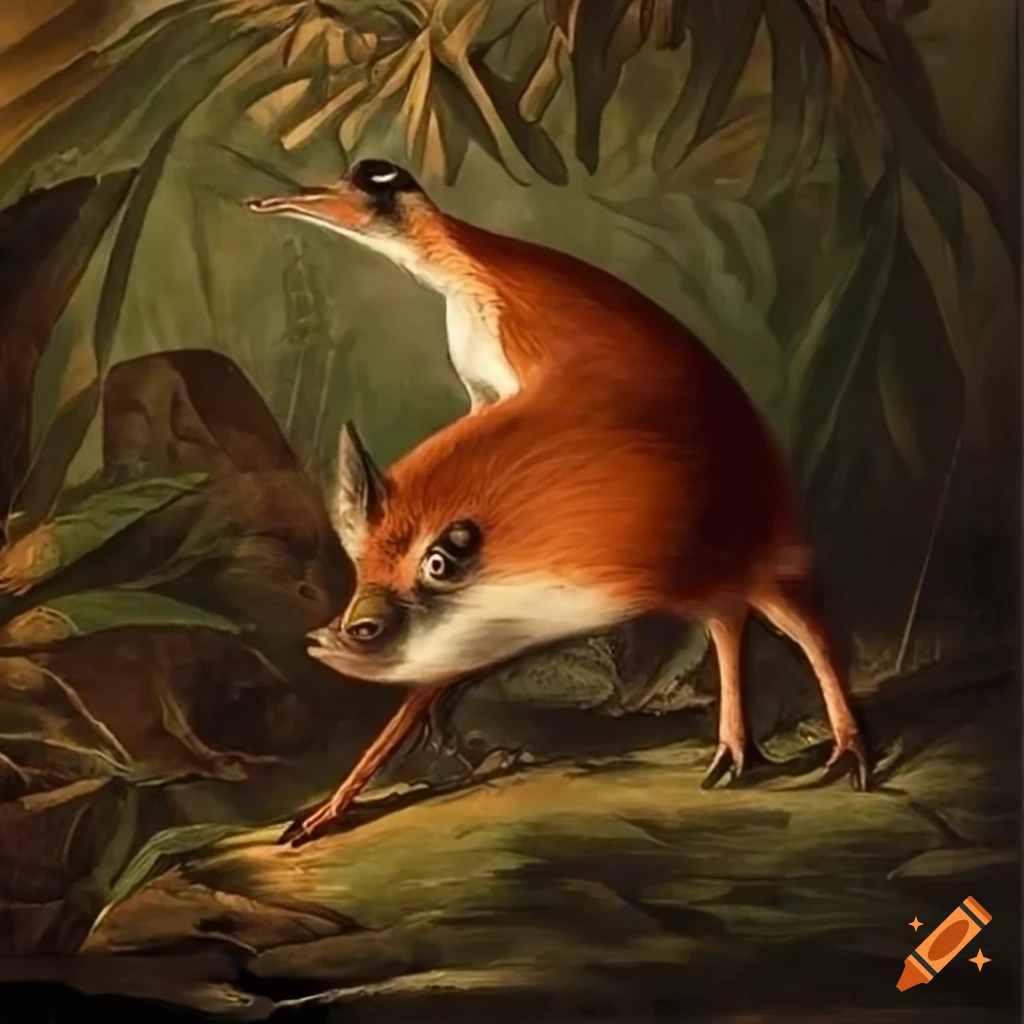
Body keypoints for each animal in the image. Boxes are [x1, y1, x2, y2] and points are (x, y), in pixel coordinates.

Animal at [248, 159, 870, 845]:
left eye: (365, 182)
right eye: (358, 557)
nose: (339, 635)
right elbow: (430, 680)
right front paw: (321, 816)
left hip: (755, 556)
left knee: (797, 626)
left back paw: (842, 752)